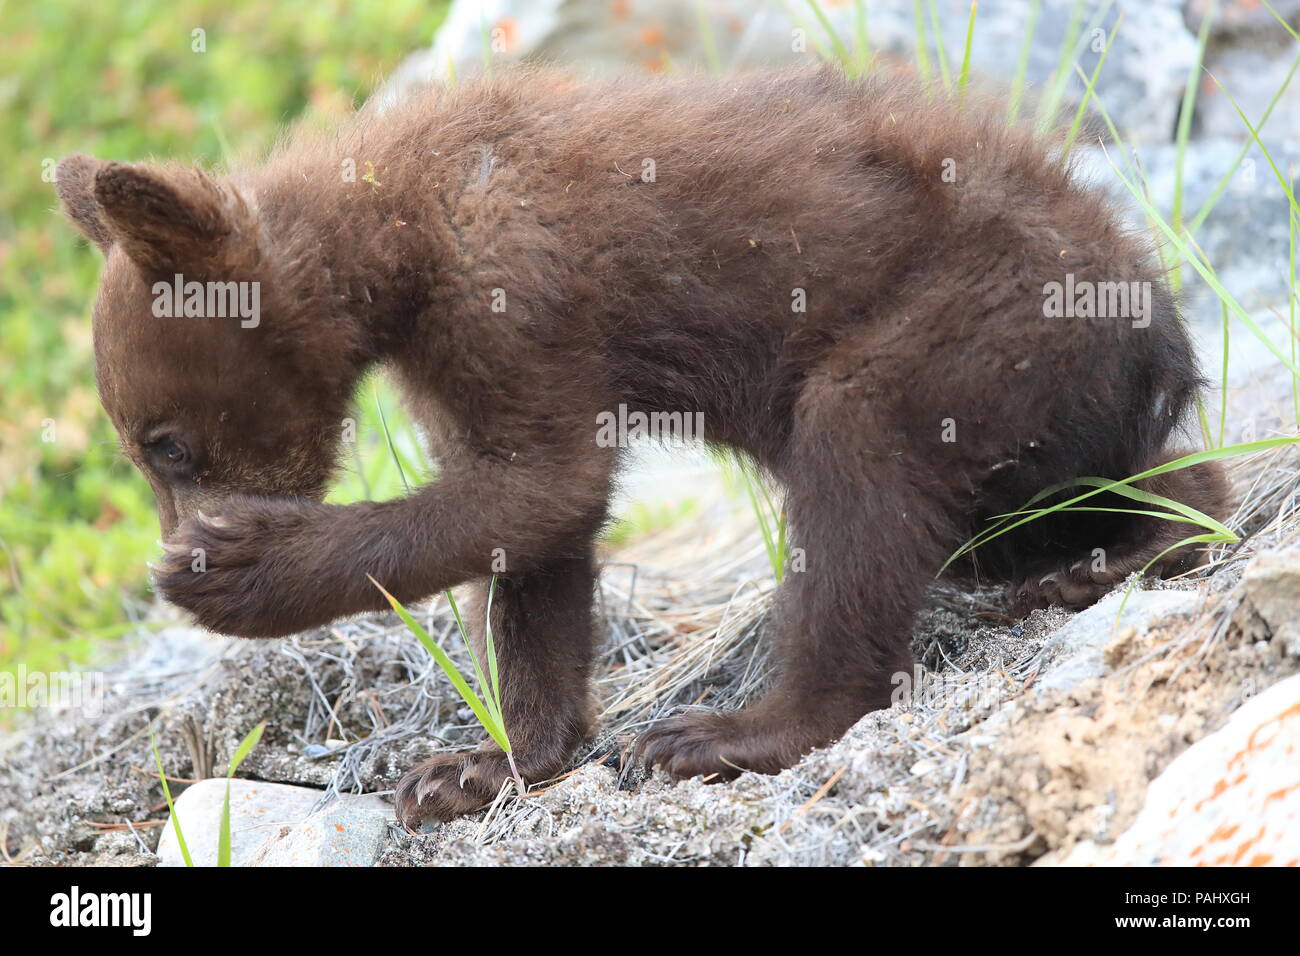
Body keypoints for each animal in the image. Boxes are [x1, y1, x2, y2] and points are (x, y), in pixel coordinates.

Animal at [55, 66, 1227, 826]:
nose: (175, 541)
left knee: (859, 451)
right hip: (1041, 413)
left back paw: (731, 729)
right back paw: (1129, 543)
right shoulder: (460, 351)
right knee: (1081, 492)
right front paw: (480, 764)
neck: (398, 235)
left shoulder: (513, 286)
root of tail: (1154, 326)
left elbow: (546, 485)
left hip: (982, 315)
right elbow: (529, 538)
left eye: (163, 443)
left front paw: (243, 567)